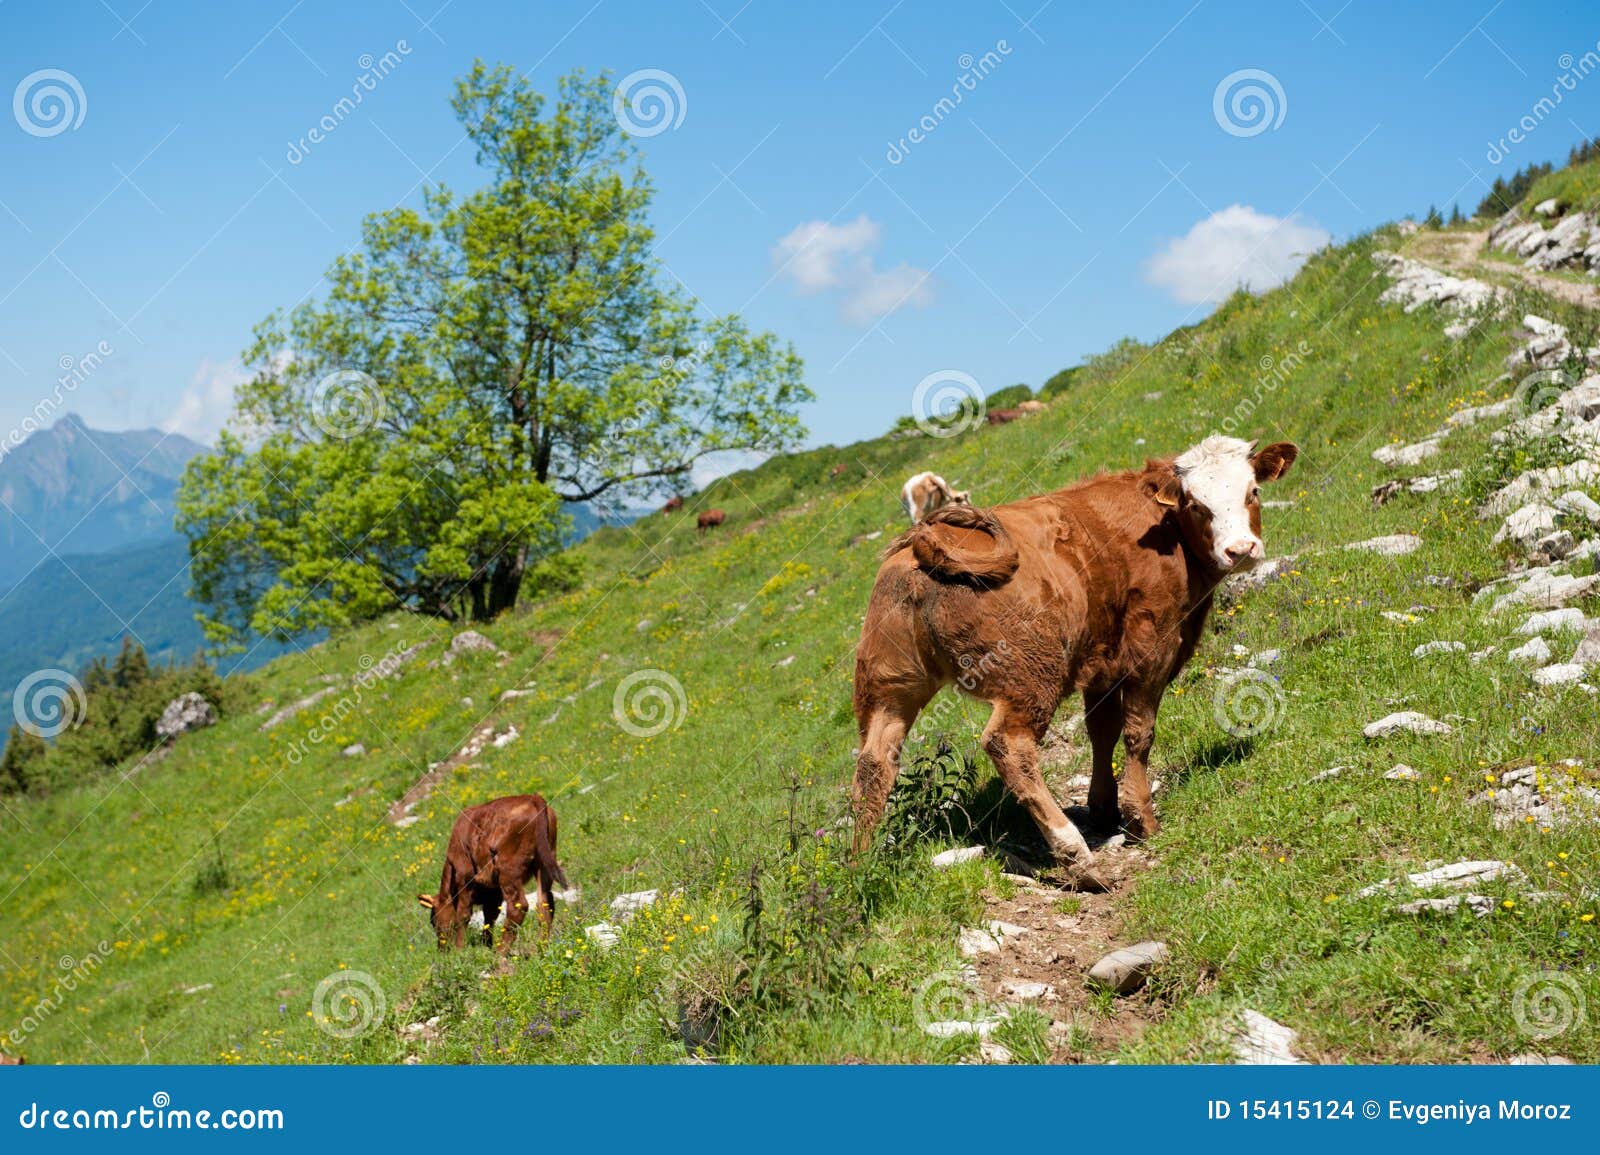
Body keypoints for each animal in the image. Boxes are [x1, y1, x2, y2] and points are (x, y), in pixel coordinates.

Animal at [418, 794, 569, 952]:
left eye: (433, 920)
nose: (442, 949)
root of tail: (532, 797)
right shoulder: (493, 890)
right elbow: (490, 916)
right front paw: (486, 947)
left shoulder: (464, 875)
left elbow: (463, 914)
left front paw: (460, 950)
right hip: (544, 863)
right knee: (544, 903)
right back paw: (542, 948)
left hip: (509, 869)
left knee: (518, 905)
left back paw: (501, 952)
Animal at [851, 436, 1298, 887]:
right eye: (1196, 505)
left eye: (1252, 492)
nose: (1241, 550)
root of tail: (921, 549)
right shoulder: (1152, 644)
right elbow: (1139, 732)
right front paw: (1141, 819)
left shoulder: (1102, 661)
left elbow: (1102, 730)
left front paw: (1104, 808)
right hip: (1030, 679)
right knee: (1009, 747)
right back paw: (1076, 856)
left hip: (888, 690)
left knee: (874, 764)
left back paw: (859, 867)